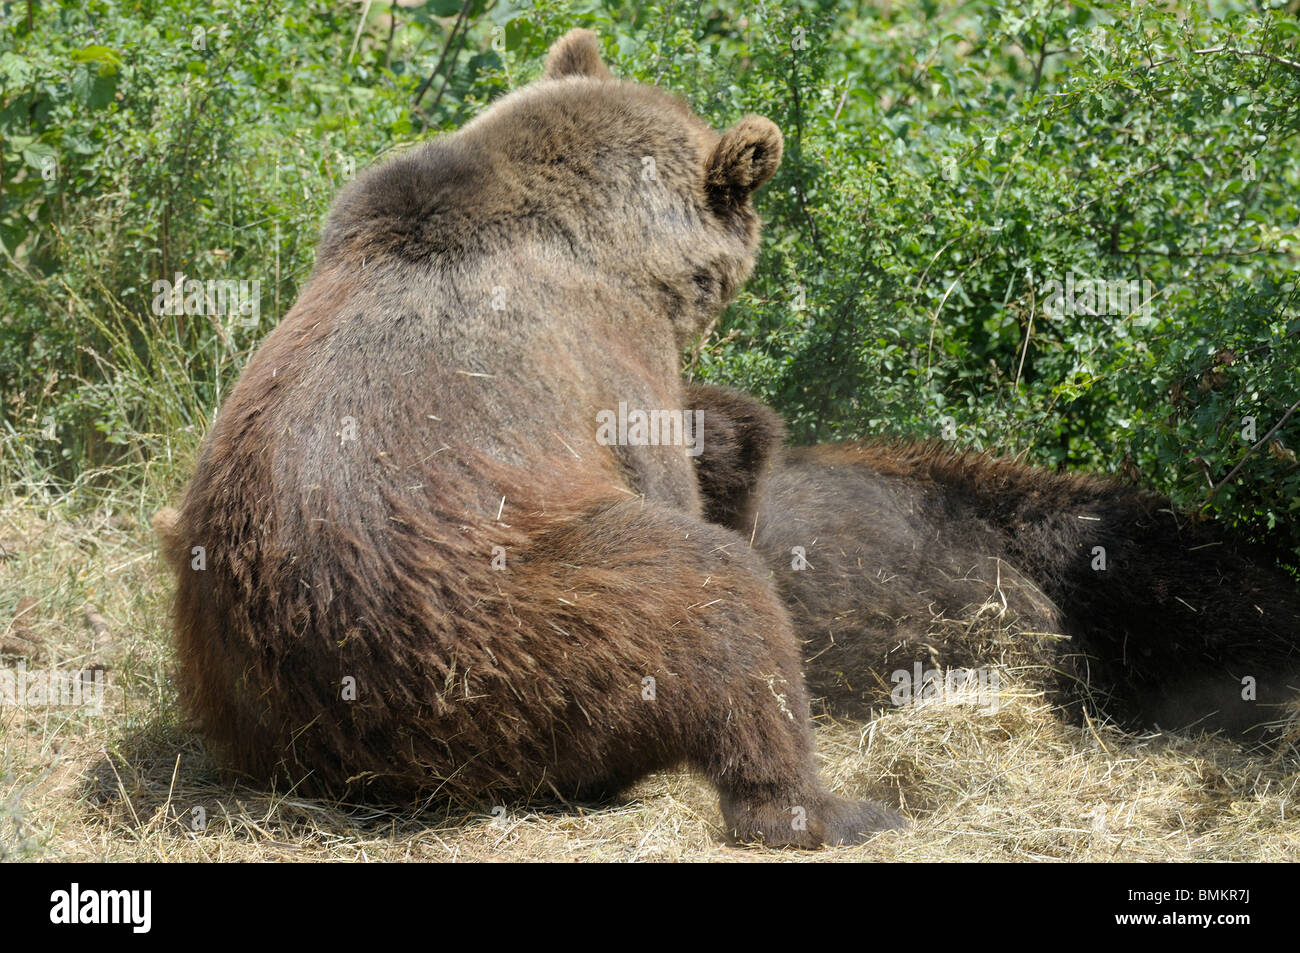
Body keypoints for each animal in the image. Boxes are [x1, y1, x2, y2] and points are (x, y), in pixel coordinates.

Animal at [153, 30, 904, 847]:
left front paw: (736, 429)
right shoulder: (607, 355)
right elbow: (669, 482)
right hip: (514, 634)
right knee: (714, 597)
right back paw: (834, 806)